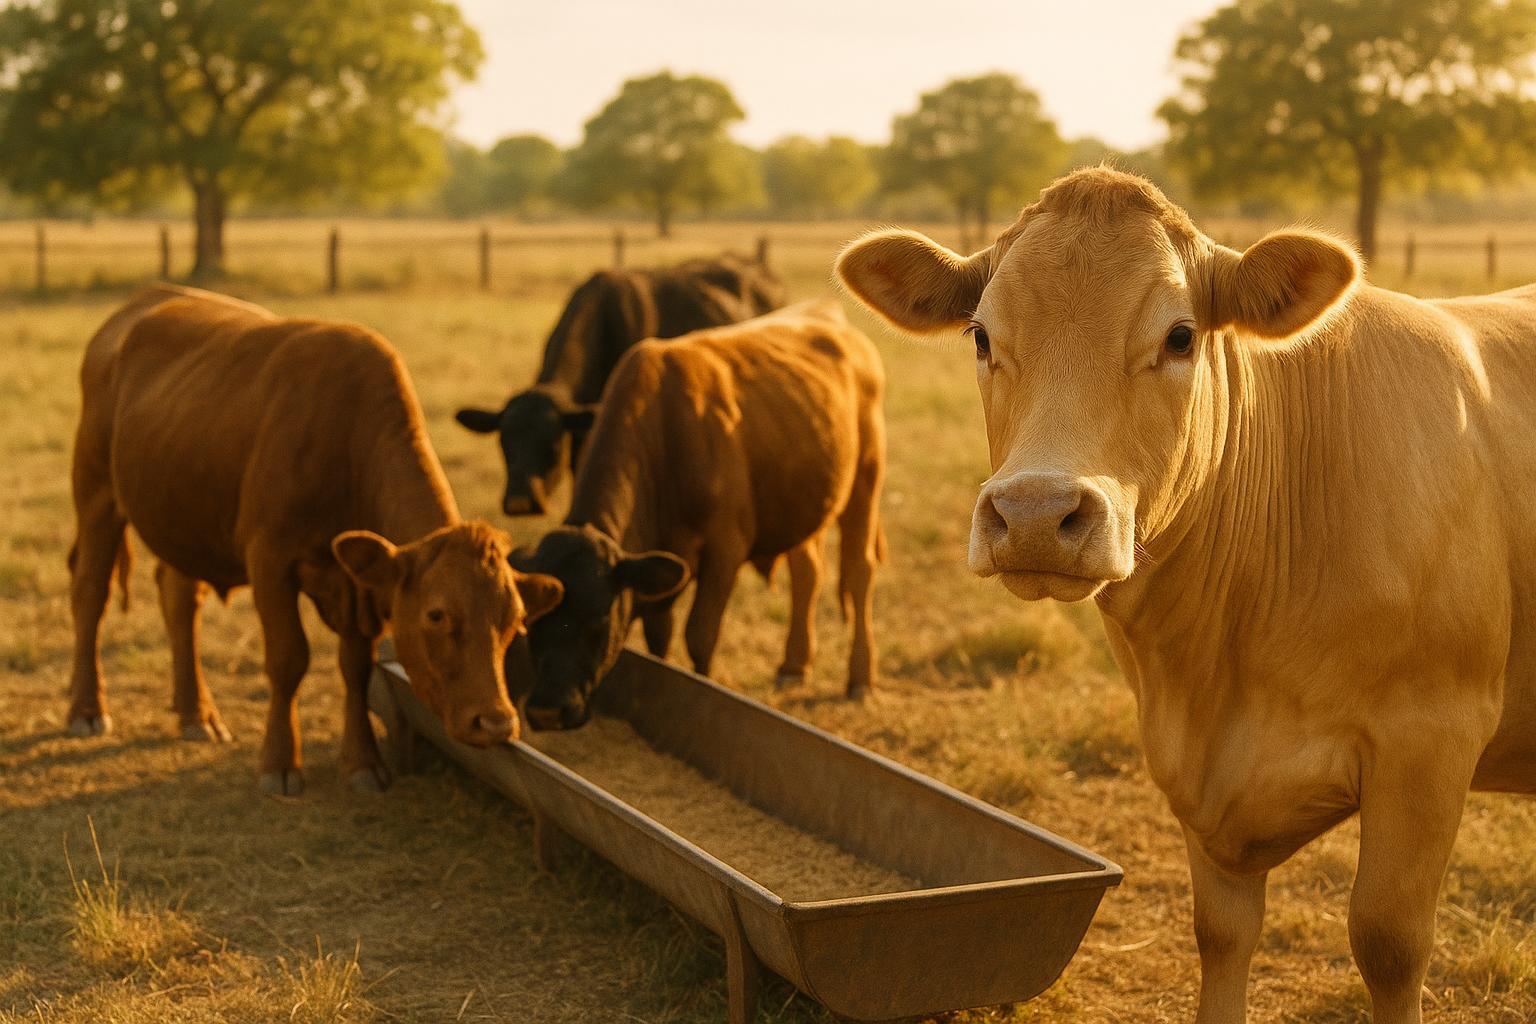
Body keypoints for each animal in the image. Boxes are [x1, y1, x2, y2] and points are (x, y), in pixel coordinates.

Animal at [66, 285, 564, 795]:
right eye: (437, 614)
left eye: (516, 621)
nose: (497, 722)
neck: (345, 446)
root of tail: (145, 299)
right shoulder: (269, 559)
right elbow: (288, 658)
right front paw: (279, 763)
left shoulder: (358, 585)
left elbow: (356, 666)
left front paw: (363, 762)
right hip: (96, 489)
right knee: (90, 592)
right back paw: (87, 710)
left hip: (183, 514)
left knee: (179, 599)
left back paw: (196, 715)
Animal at [511, 299, 886, 730]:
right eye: (531, 623)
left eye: (597, 624)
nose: (547, 711)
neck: (666, 436)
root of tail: (825, 309)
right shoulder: (661, 561)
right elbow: (660, 633)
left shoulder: (726, 548)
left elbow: (700, 634)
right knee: (807, 572)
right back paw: (794, 666)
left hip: (866, 476)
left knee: (859, 572)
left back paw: (860, 679)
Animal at [836, 166, 1536, 1024]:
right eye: (980, 337)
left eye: (1179, 337)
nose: (1034, 514)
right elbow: (1221, 933)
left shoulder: (1432, 740)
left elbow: (1389, 941)